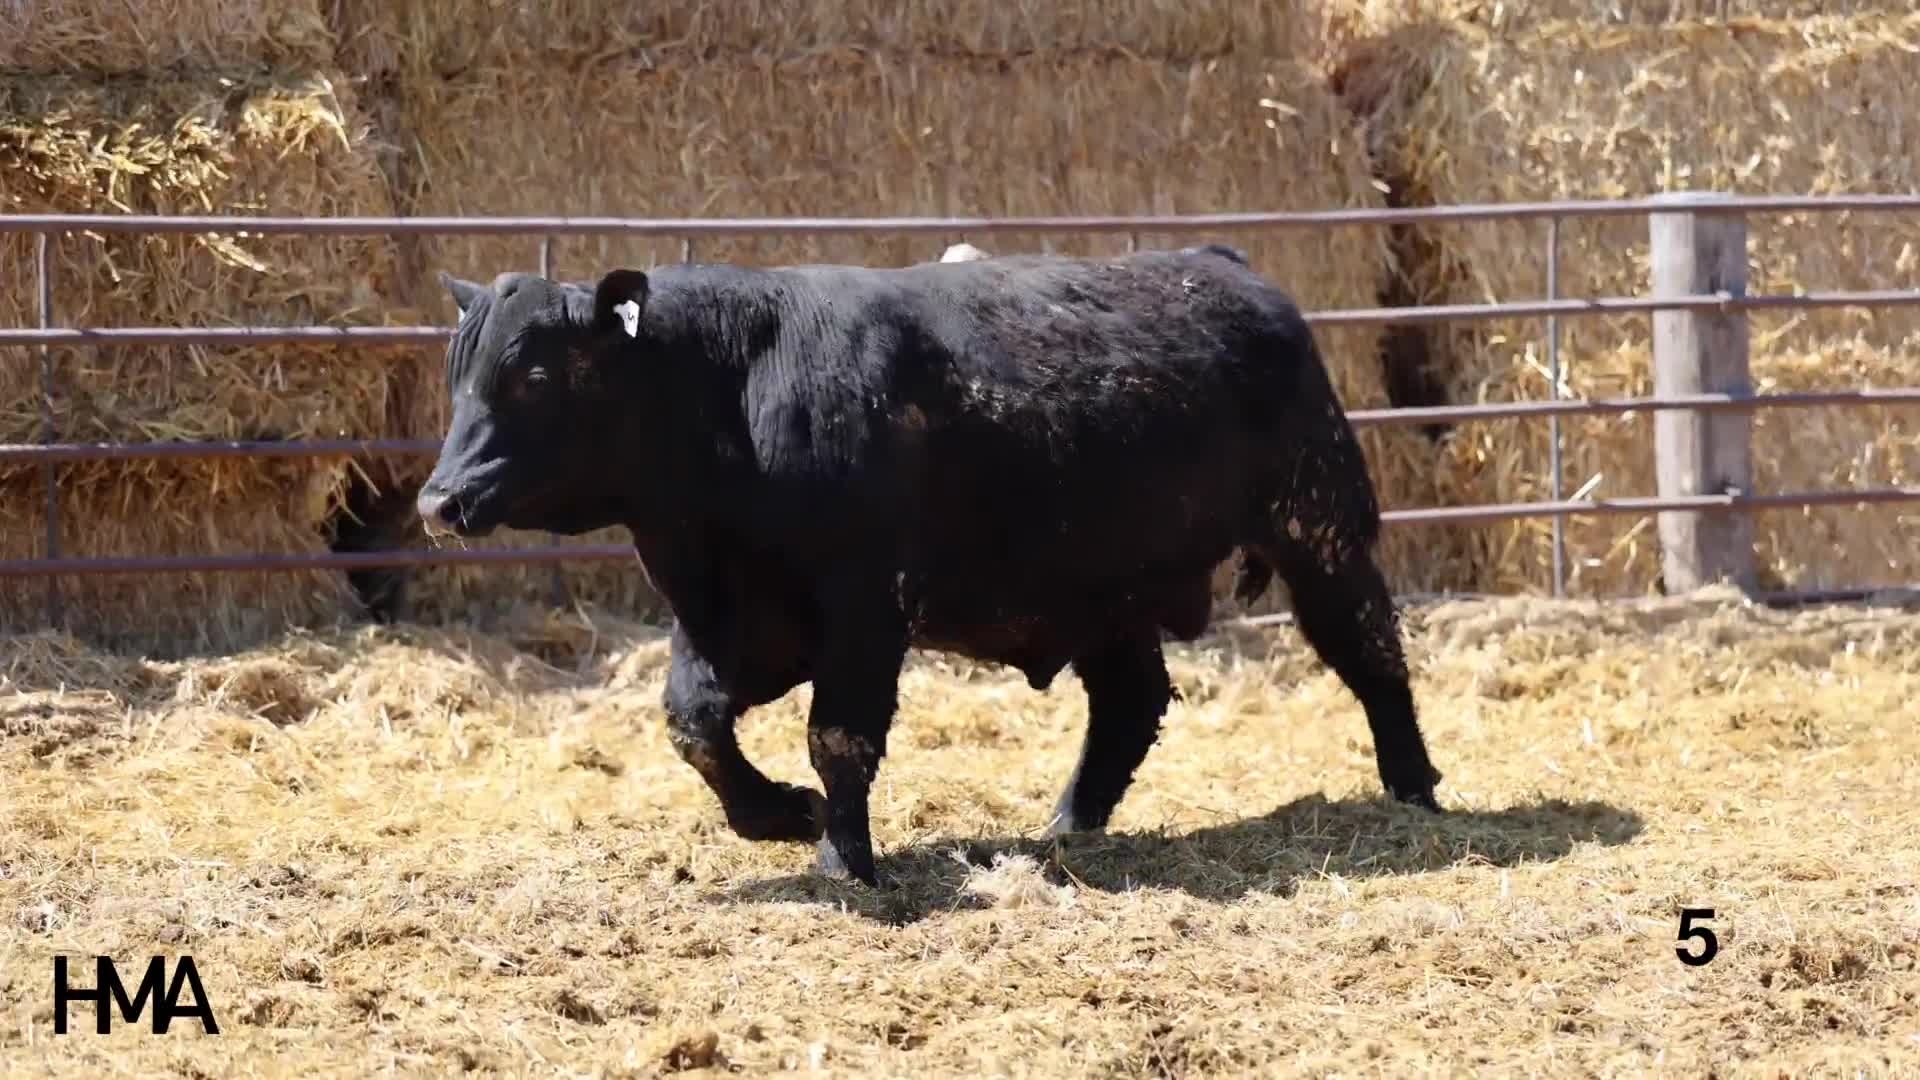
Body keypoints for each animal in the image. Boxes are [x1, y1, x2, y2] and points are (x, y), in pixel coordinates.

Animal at [416, 246, 1445, 887]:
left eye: (535, 375)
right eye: (459, 378)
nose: (438, 502)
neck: (737, 390)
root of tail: (1225, 268)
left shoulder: (866, 610)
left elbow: (838, 738)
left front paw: (843, 858)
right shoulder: (728, 620)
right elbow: (694, 725)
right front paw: (781, 815)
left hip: (1322, 530)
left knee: (1373, 658)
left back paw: (1415, 789)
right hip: (1102, 590)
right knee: (1130, 702)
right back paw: (1069, 823)